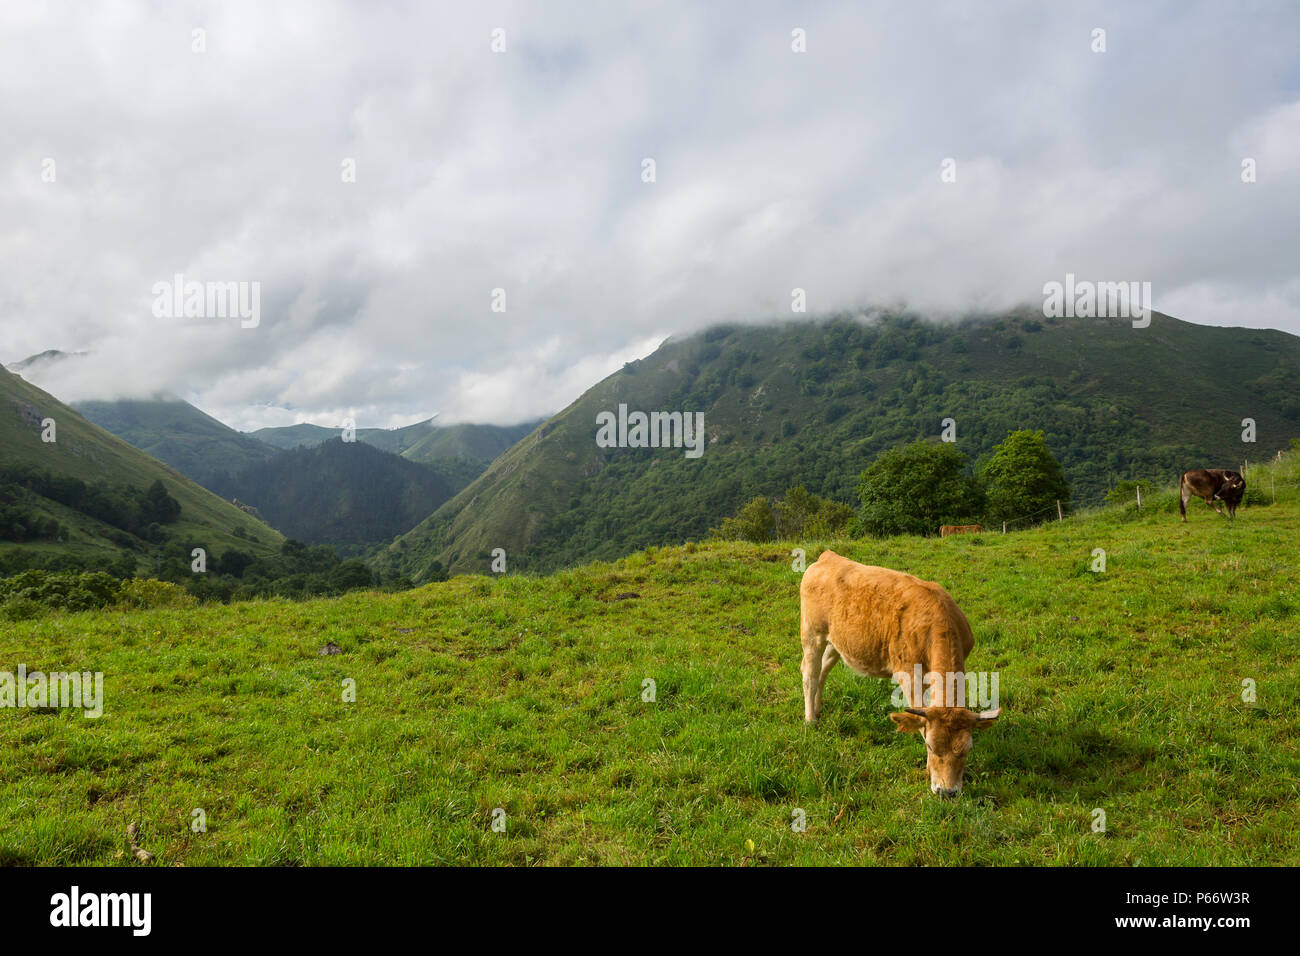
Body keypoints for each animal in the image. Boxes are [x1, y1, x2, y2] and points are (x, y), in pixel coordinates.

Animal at [799, 550, 1000, 797]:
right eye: (930, 746)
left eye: (967, 749)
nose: (947, 792)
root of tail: (828, 556)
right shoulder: (909, 676)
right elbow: (920, 720)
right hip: (812, 634)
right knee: (810, 674)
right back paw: (811, 719)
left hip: (836, 642)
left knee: (823, 670)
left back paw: (817, 708)